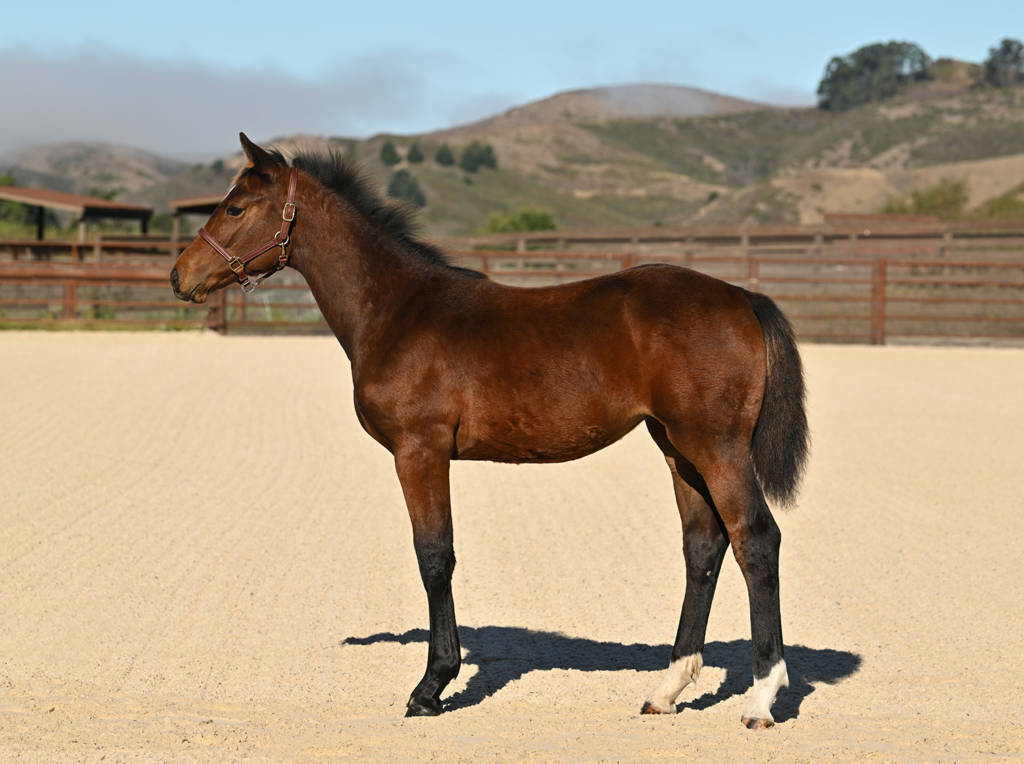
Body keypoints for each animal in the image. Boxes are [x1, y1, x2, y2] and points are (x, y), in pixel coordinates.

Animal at [171, 133, 809, 729]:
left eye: (234, 207)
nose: (179, 276)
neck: (397, 310)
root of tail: (742, 297)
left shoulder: (419, 450)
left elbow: (434, 556)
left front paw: (431, 687)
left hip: (716, 446)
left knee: (756, 540)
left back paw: (761, 698)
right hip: (676, 447)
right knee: (703, 546)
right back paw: (666, 691)